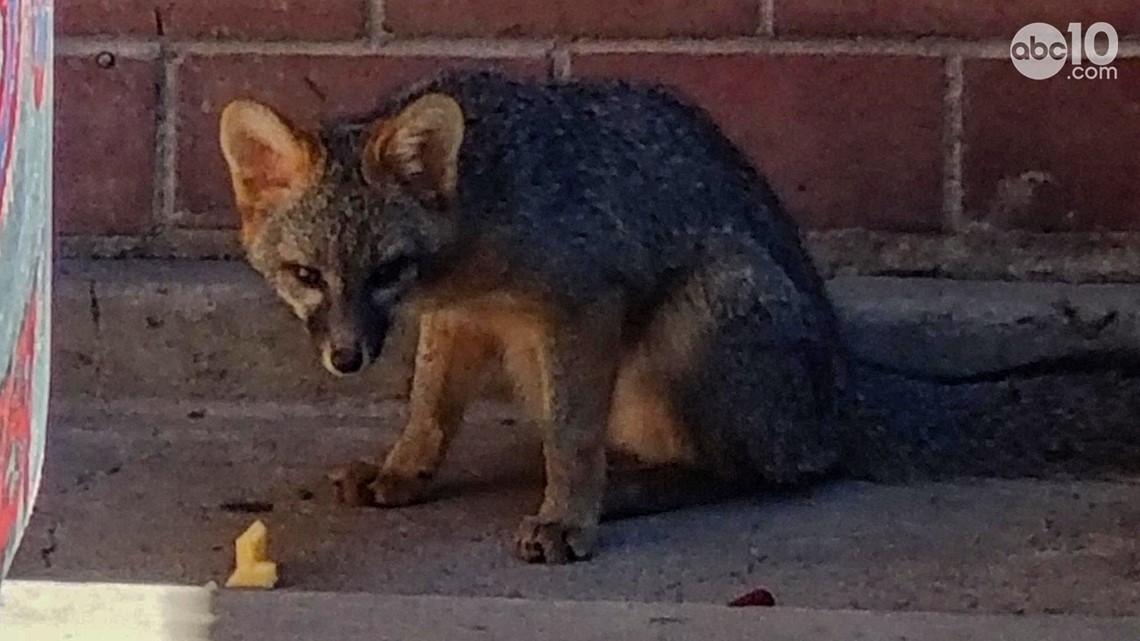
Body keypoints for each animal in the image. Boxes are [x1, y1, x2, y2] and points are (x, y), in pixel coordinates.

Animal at [219, 70, 847, 564]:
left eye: (387, 271)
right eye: (306, 275)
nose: (347, 357)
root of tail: (832, 410)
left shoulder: (583, 305)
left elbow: (572, 437)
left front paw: (566, 517)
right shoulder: (460, 316)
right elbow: (429, 407)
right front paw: (399, 470)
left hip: (708, 300)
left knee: (753, 473)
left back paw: (627, 494)